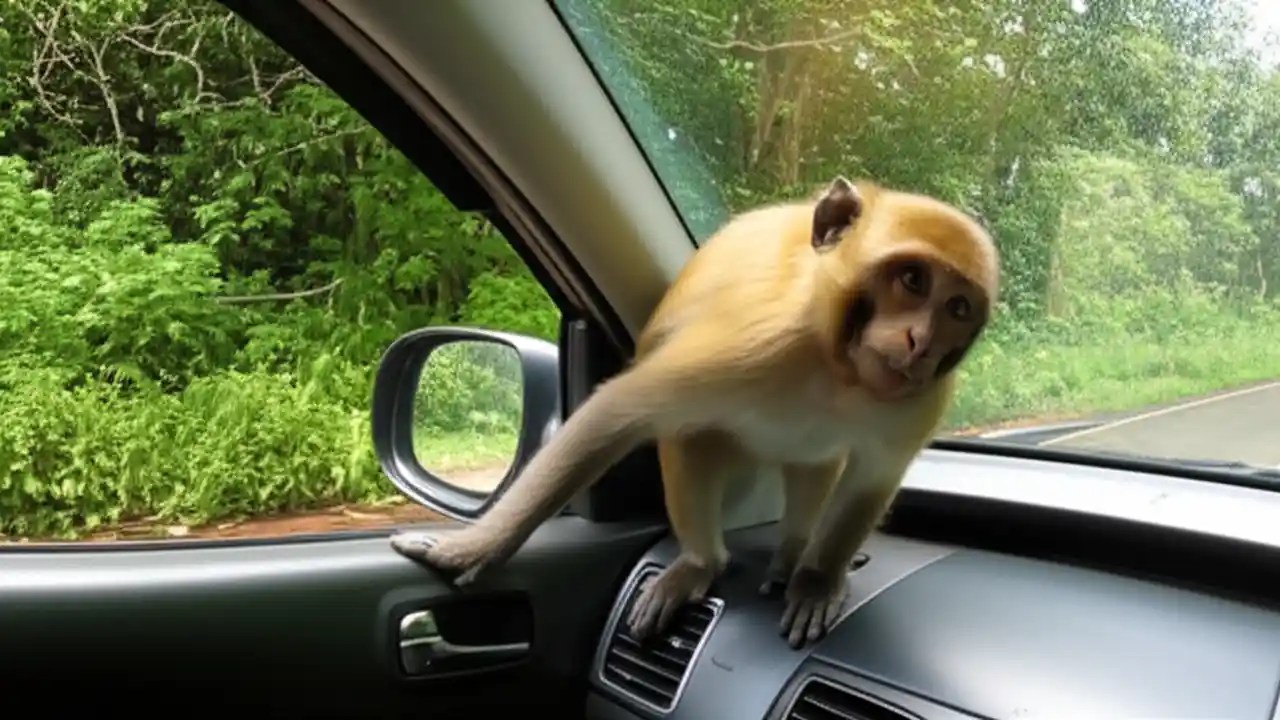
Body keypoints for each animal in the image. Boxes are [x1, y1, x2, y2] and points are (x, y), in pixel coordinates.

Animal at [390, 176, 999, 649]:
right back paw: (702, 562)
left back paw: (793, 555)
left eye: (957, 307)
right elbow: (616, 413)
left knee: (813, 469)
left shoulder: (922, 399)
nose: (922, 343)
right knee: (692, 436)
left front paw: (818, 578)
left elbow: (875, 475)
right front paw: (473, 549)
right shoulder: (752, 341)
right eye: (913, 279)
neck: (835, 366)